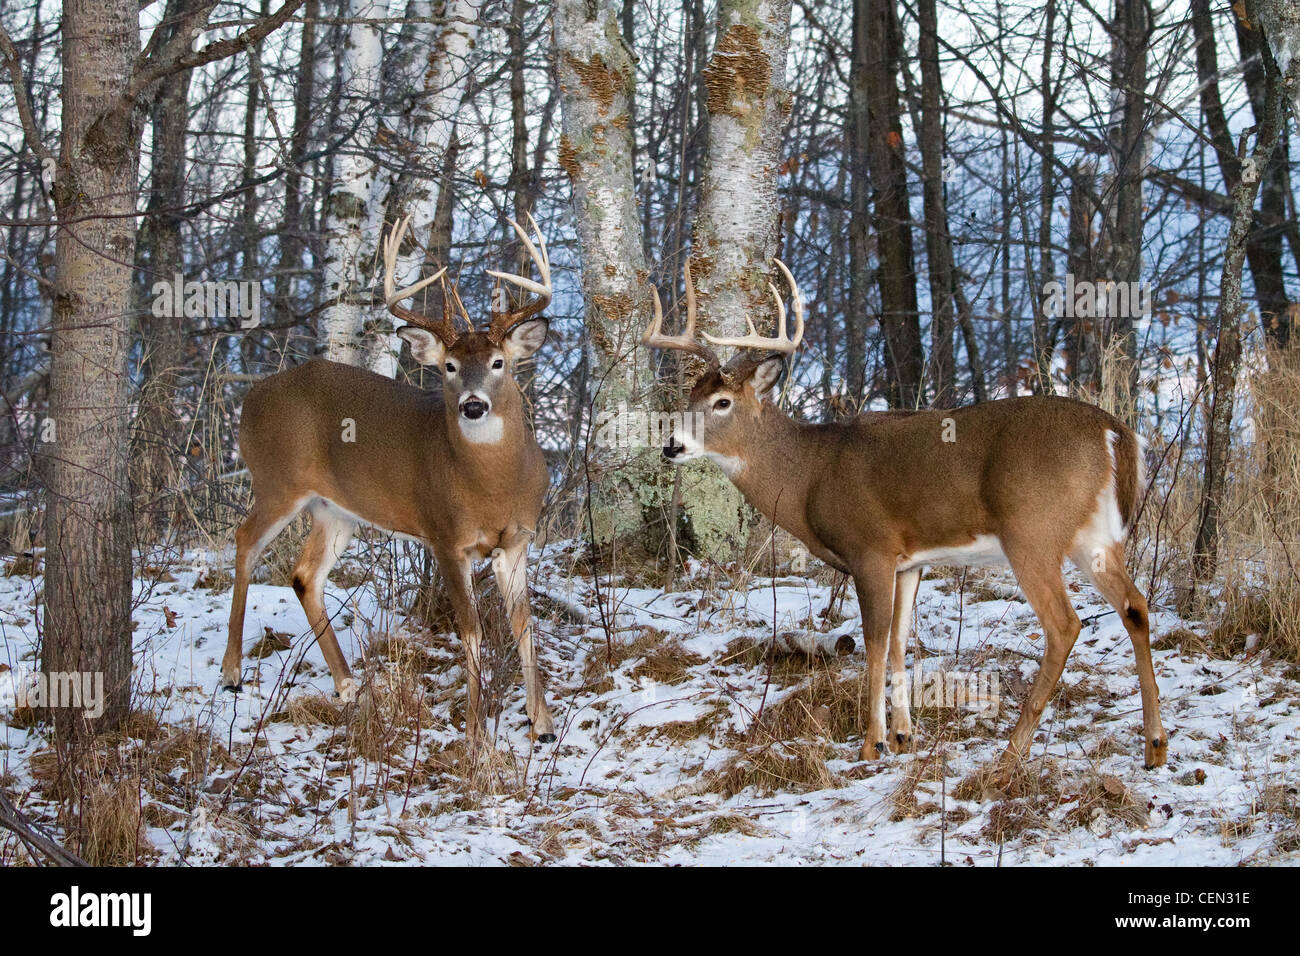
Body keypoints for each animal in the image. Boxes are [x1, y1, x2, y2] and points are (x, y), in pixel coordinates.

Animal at [221, 215, 557, 747]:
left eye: (499, 362)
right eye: (449, 366)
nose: (473, 405)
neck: (492, 487)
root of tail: (251, 396)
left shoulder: (518, 540)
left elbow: (523, 625)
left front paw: (541, 724)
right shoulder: (444, 536)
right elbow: (472, 630)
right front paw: (476, 735)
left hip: (334, 510)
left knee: (304, 574)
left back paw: (348, 685)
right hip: (276, 481)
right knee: (245, 541)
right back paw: (232, 671)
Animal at [642, 261, 1166, 789]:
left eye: (722, 402)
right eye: (690, 396)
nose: (671, 445)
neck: (808, 474)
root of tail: (1115, 433)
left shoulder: (869, 549)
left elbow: (873, 643)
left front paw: (870, 744)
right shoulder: (910, 561)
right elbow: (898, 641)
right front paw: (902, 736)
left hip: (1031, 532)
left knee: (1064, 624)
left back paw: (1009, 754)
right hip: (1095, 538)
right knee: (1136, 606)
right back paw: (1155, 747)